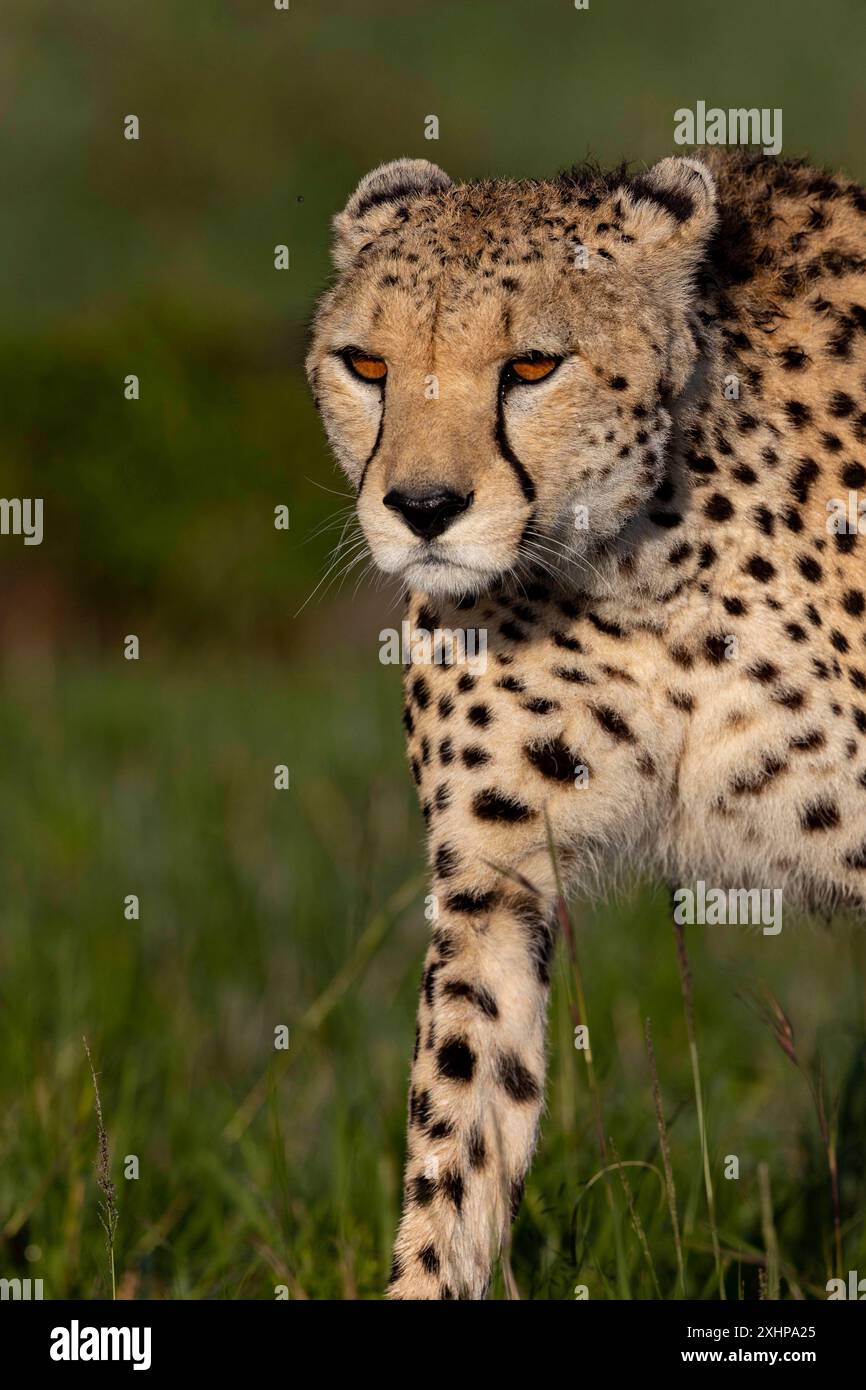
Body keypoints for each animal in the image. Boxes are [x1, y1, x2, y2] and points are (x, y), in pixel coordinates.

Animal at [306, 148, 866, 1300]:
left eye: (531, 365)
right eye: (366, 363)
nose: (422, 508)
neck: (642, 559)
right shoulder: (493, 884)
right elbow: (459, 1139)